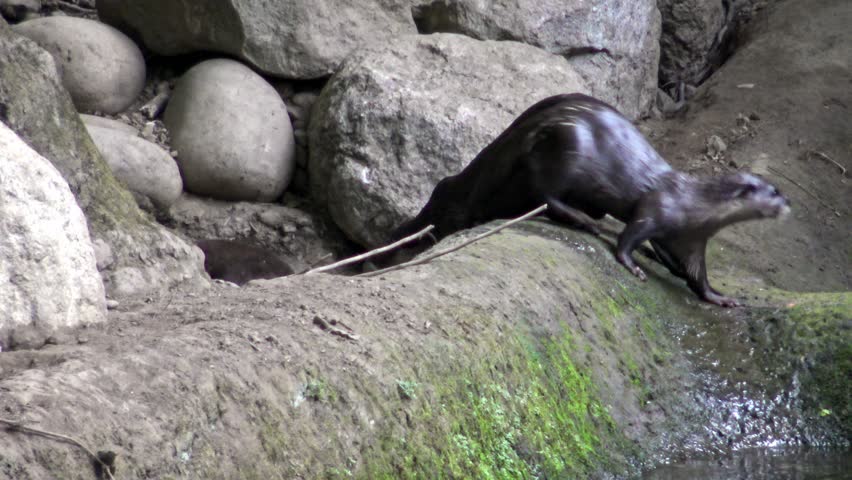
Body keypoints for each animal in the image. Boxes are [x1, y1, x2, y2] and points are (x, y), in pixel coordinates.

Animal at [389, 93, 789, 307]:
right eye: (774, 192)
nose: (788, 204)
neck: (694, 206)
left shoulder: (692, 243)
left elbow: (696, 277)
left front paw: (719, 297)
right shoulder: (657, 208)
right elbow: (630, 236)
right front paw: (632, 265)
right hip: (564, 150)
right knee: (546, 197)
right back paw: (585, 221)